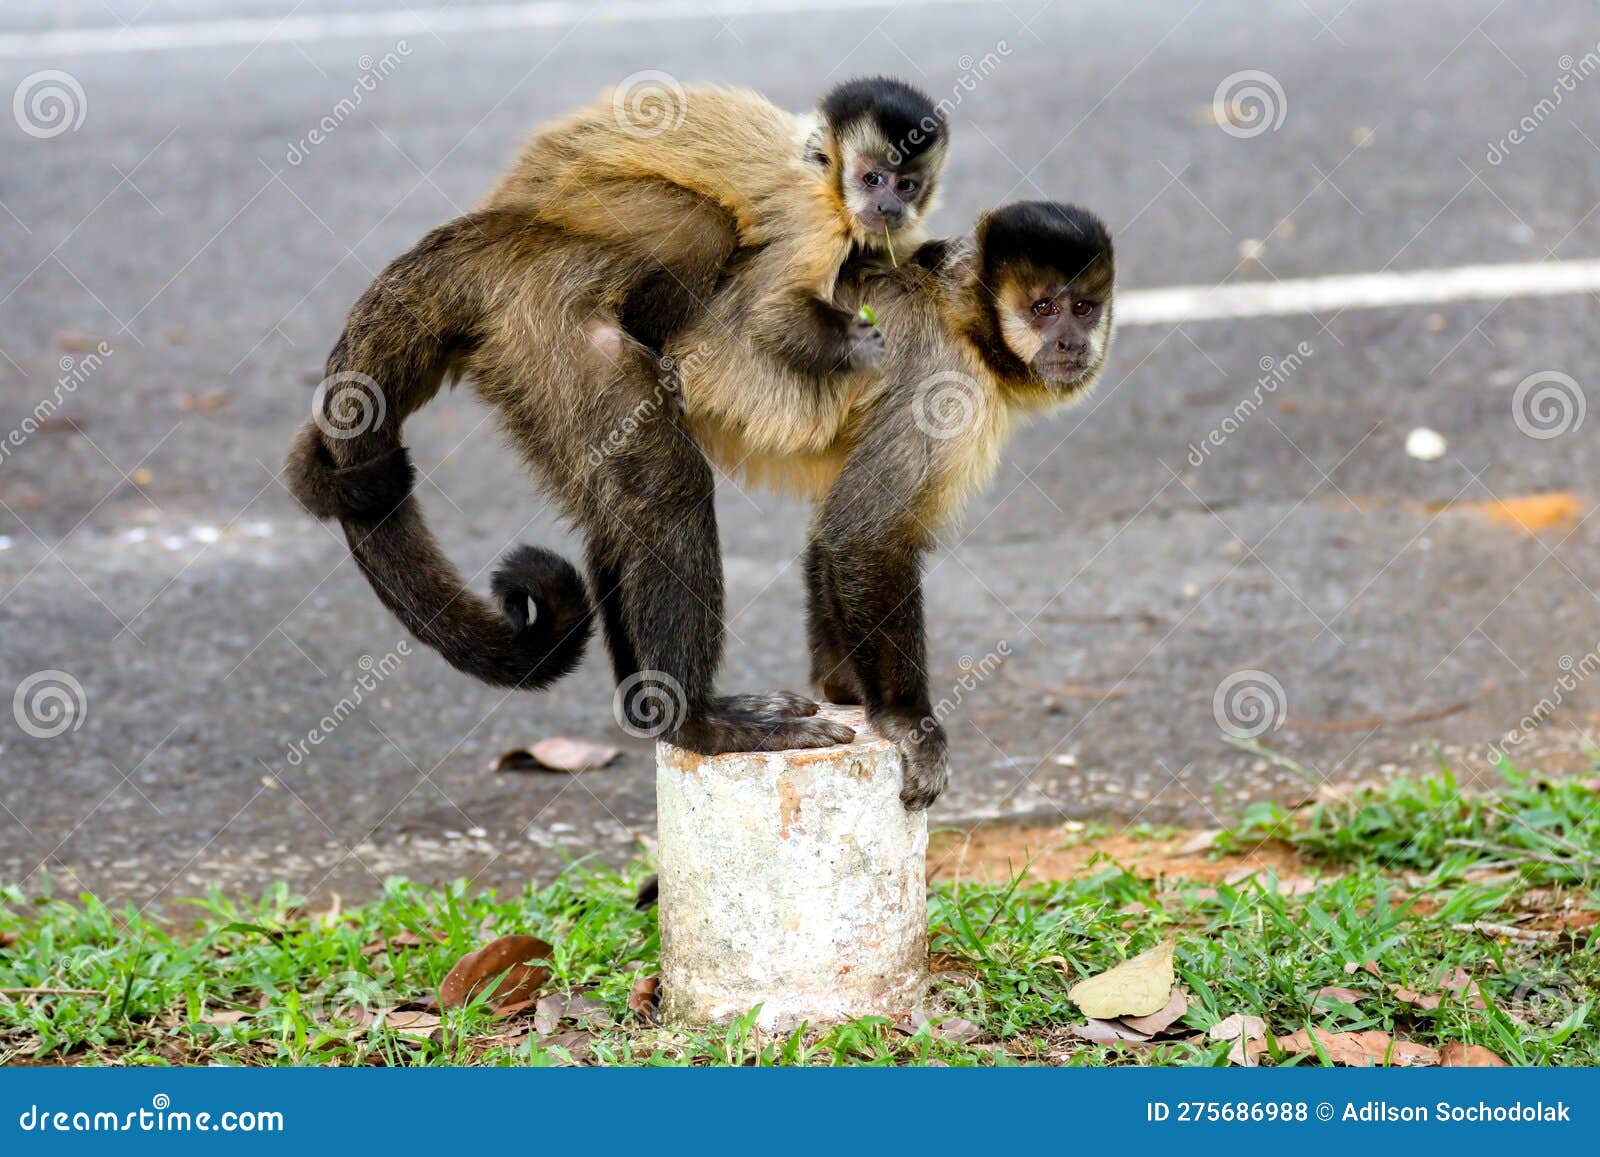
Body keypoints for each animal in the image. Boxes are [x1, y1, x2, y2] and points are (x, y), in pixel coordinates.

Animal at [284, 78, 947, 759]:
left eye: (908, 184)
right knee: (700, 234)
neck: (827, 185)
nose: (889, 207)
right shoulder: (814, 220)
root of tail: (496, 220)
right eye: (871, 177)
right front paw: (854, 341)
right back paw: (700, 722)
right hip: (567, 268)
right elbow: (774, 315)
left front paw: (926, 255)